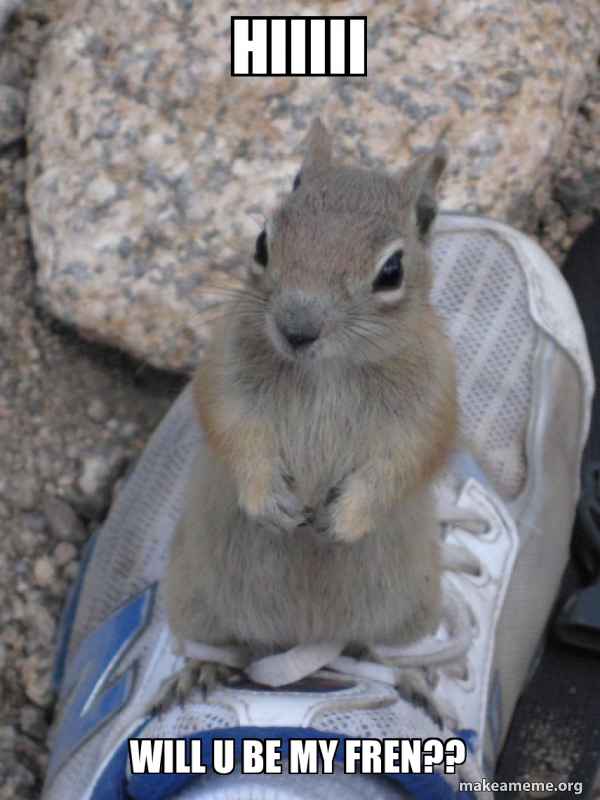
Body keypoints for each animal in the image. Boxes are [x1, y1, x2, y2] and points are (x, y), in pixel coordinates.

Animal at [162, 118, 458, 705]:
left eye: (392, 271)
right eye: (262, 241)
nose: (296, 329)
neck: (327, 369)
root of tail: (306, 633)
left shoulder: (428, 406)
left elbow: (401, 464)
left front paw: (345, 519)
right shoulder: (226, 377)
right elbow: (236, 434)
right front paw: (268, 500)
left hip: (412, 610)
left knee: (366, 645)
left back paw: (405, 677)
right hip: (190, 597)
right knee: (228, 646)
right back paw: (200, 671)